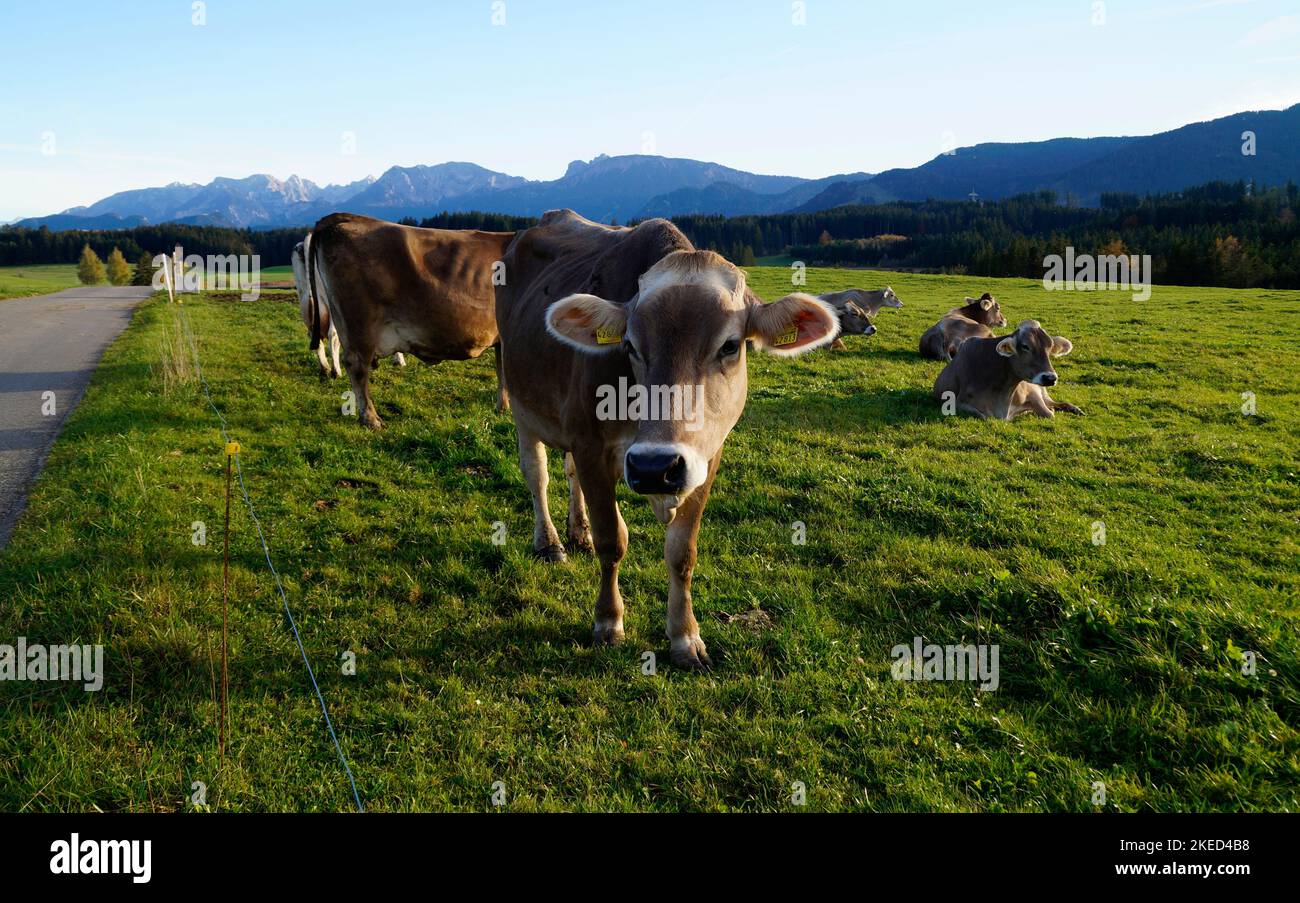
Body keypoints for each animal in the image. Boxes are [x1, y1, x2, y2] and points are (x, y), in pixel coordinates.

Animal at [308, 213, 514, 428]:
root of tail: (349, 218)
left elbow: (502, 373)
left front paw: (502, 408)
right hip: (360, 323)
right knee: (356, 365)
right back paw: (372, 419)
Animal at [497, 209, 839, 670]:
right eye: (628, 345)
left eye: (731, 345)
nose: (654, 466)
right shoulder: (591, 446)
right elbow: (612, 540)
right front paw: (608, 622)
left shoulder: (704, 458)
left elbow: (682, 553)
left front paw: (685, 636)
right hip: (520, 401)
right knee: (537, 474)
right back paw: (550, 543)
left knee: (567, 475)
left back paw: (577, 531)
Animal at [933, 319, 1082, 420]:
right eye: (1025, 346)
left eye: (1050, 347)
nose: (1050, 378)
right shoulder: (959, 403)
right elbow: (985, 416)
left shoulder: (1032, 394)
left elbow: (1049, 413)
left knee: (1054, 403)